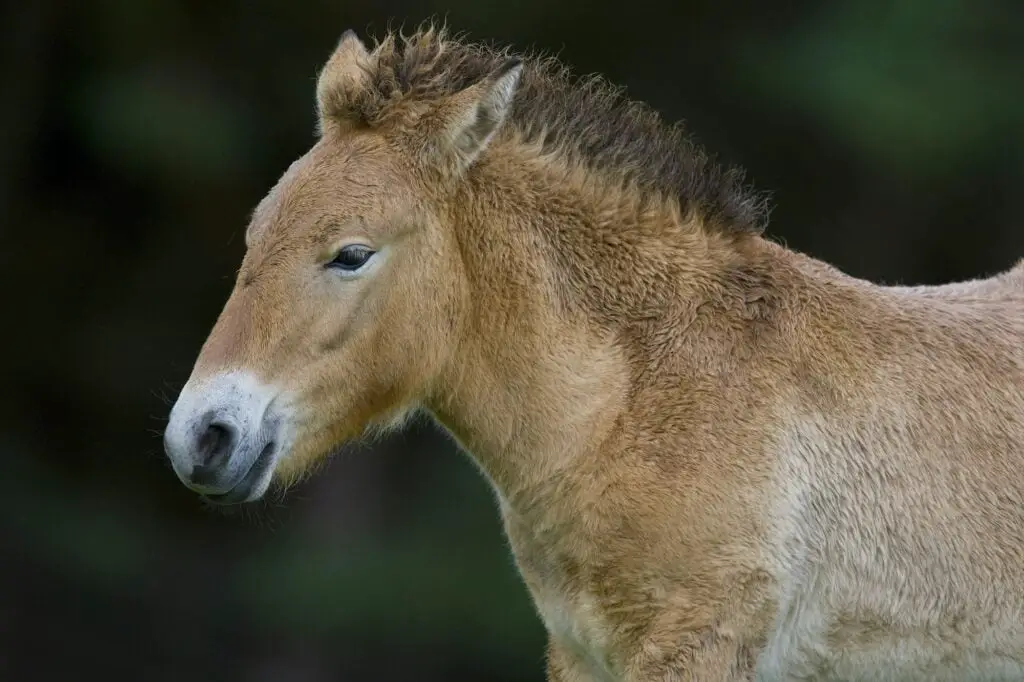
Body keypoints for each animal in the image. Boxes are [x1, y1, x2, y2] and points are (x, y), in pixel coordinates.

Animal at [163, 25, 1024, 681]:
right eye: (255, 235)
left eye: (350, 254)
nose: (202, 436)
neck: (632, 399)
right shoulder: (580, 653)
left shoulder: (695, 646)